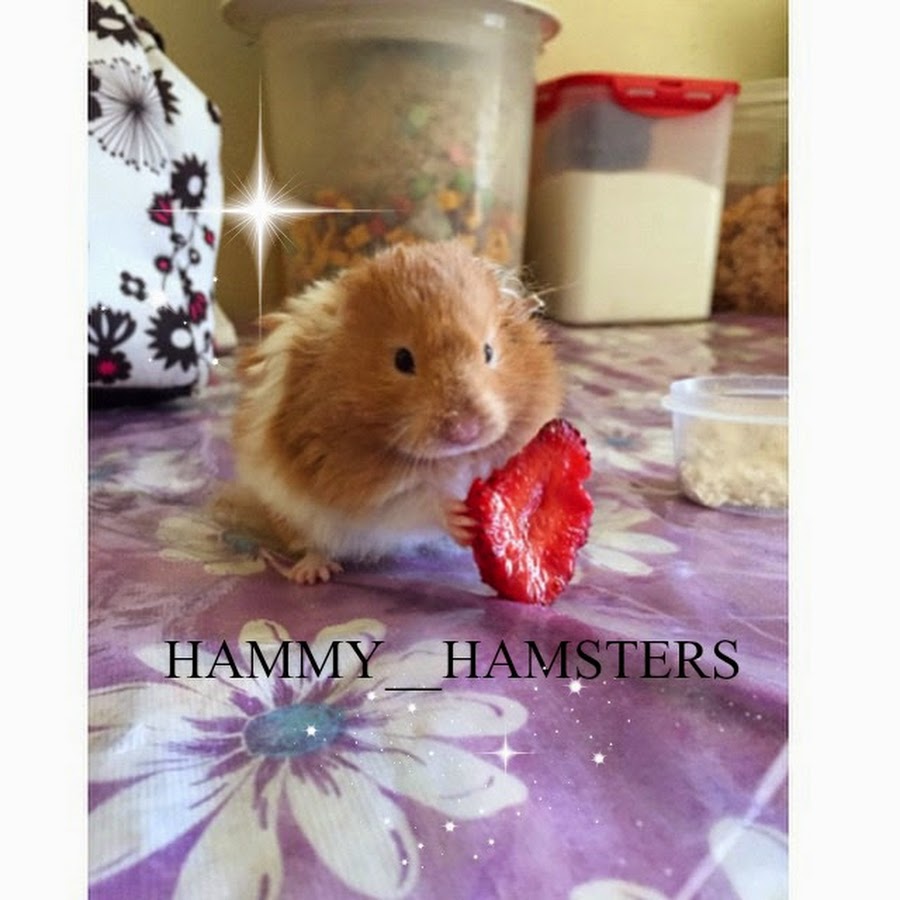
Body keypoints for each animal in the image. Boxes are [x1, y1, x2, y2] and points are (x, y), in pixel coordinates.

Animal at [227, 239, 563, 584]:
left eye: (488, 351)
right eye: (402, 360)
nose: (465, 431)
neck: (450, 460)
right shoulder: (361, 491)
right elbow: (416, 502)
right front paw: (463, 518)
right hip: (289, 513)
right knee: (312, 545)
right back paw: (313, 574)